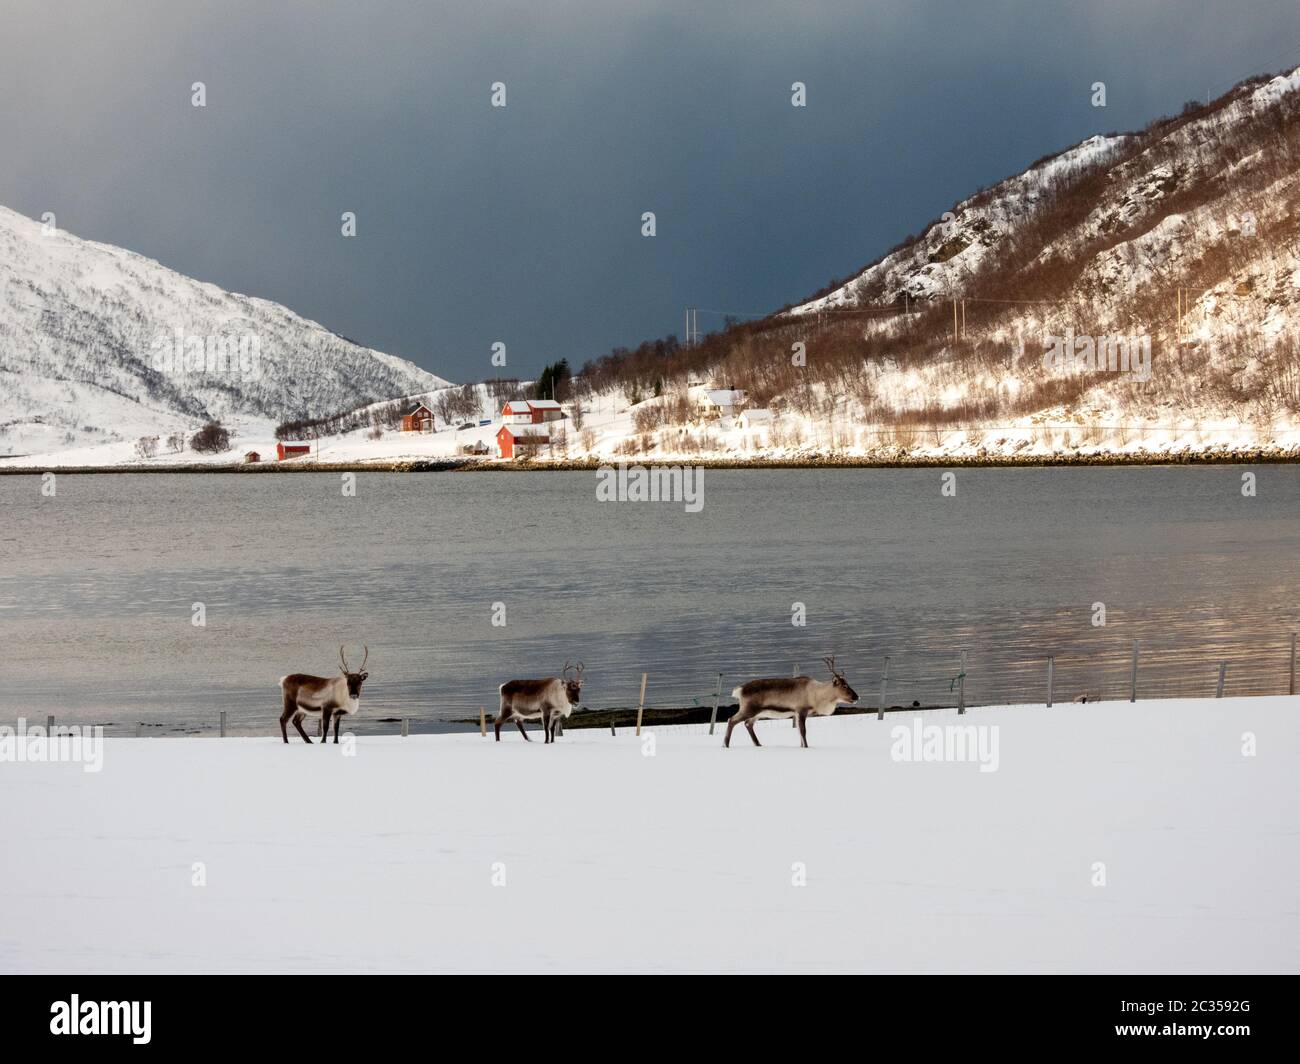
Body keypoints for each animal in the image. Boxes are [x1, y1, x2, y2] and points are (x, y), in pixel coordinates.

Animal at [725, 656, 858, 749]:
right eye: (844, 686)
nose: (857, 697)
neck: (817, 695)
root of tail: (739, 690)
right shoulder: (801, 710)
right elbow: (803, 731)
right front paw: (806, 747)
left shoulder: (798, 713)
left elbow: (799, 732)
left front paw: (802, 746)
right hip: (748, 709)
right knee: (731, 720)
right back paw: (725, 745)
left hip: (758, 713)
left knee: (748, 723)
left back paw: (758, 744)